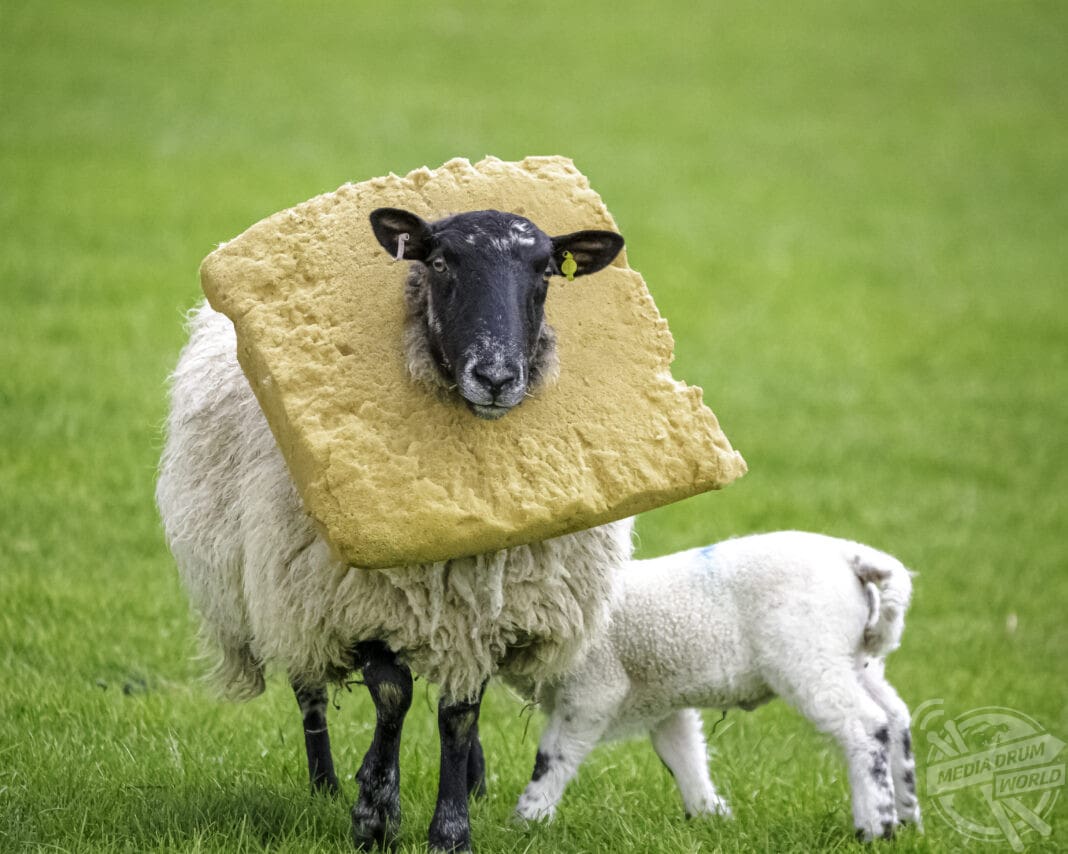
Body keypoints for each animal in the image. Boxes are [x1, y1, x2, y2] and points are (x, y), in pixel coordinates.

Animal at [155, 207, 630, 852]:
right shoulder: (358, 604)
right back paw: (326, 787)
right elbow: (392, 695)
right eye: (439, 263)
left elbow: (459, 714)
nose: (497, 377)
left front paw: (451, 828)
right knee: (309, 689)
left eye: (546, 272)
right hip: (289, 588)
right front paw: (374, 813)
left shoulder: (487, 614)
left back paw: (472, 781)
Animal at [515, 531, 922, 842]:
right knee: (896, 717)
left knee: (866, 725)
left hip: (809, 655)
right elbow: (684, 755)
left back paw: (876, 827)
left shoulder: (592, 691)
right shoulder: (662, 702)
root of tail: (851, 556)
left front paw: (527, 821)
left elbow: (553, 758)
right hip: (852, 659)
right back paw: (907, 817)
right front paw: (710, 815)